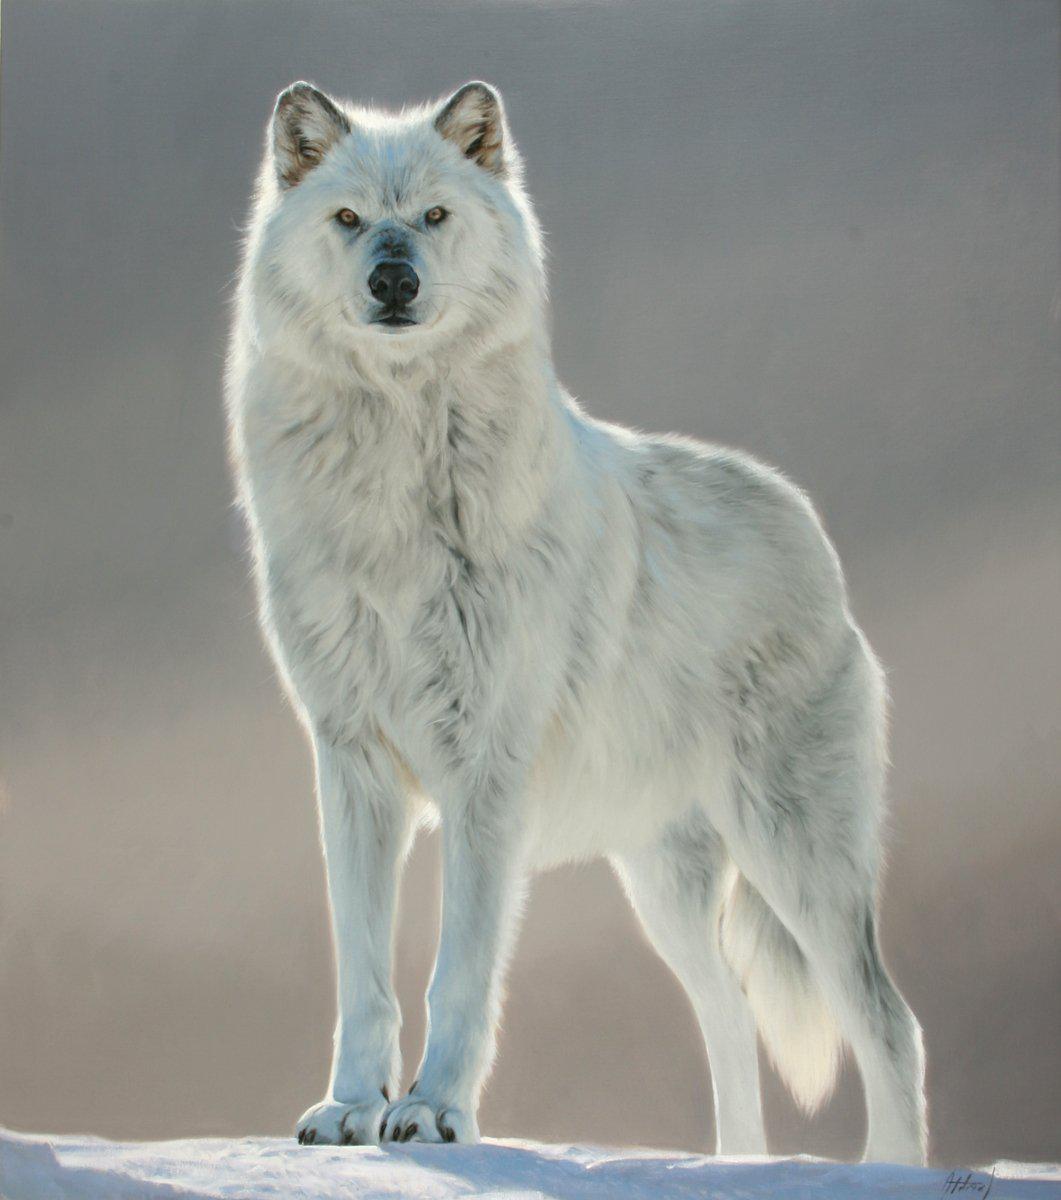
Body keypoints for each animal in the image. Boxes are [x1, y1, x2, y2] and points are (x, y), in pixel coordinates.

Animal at [225, 79, 927, 1163]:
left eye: (435, 215)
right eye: (347, 219)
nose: (393, 279)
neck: (393, 498)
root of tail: (810, 528)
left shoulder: (483, 778)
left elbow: (458, 974)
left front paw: (432, 1113)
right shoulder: (352, 769)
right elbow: (364, 976)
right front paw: (348, 1110)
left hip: (795, 859)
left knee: (888, 1024)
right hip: (665, 887)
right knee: (729, 1014)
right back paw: (733, 1166)